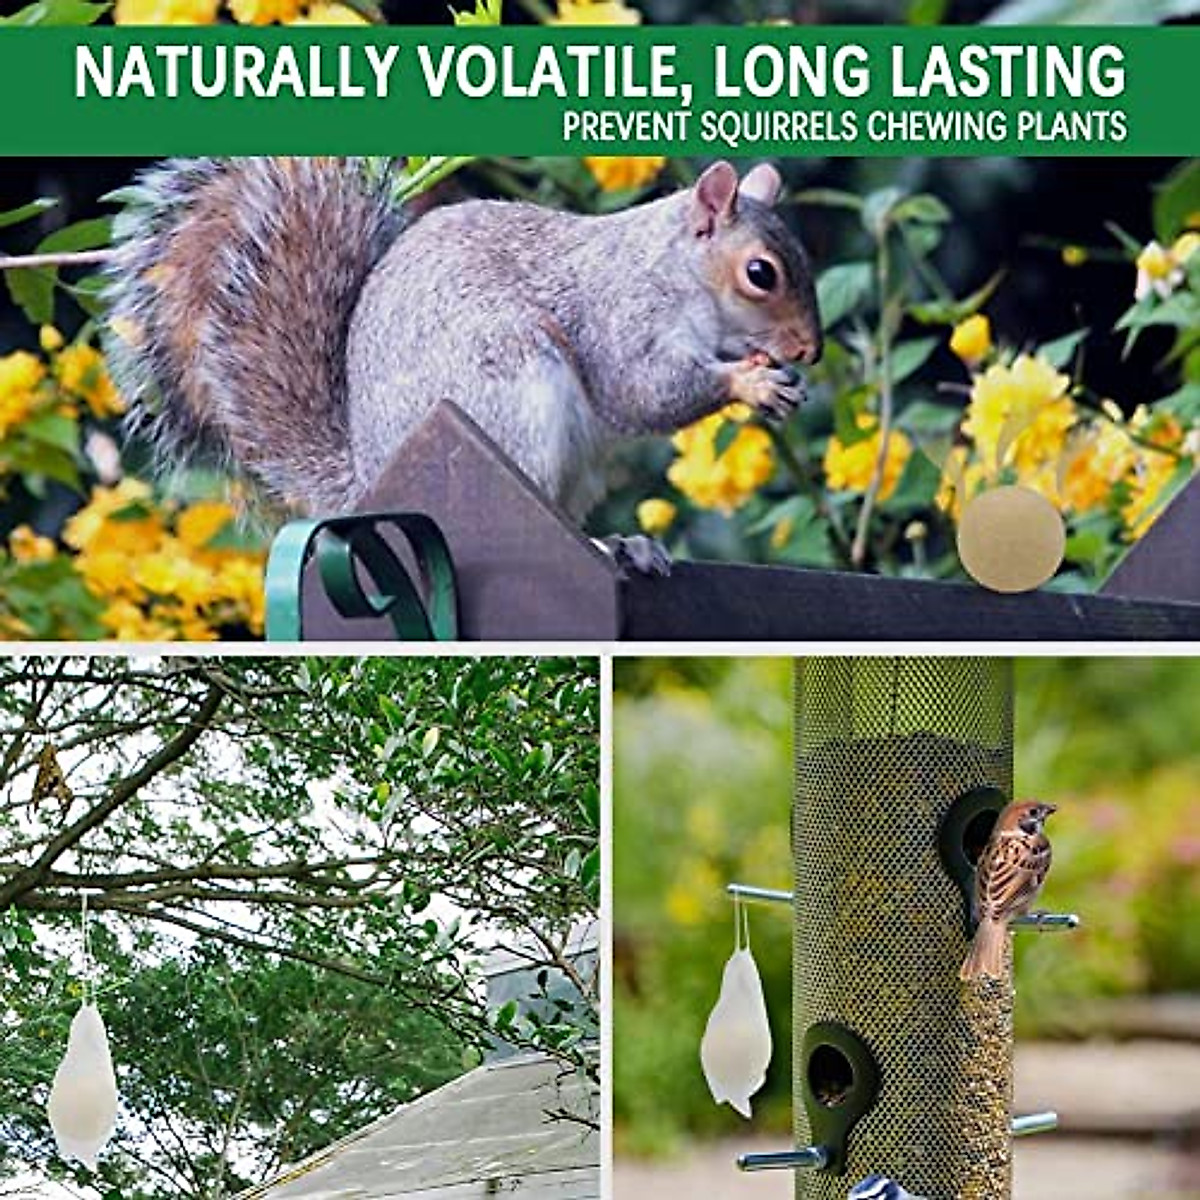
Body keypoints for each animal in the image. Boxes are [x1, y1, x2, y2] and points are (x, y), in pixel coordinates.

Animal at [103, 157, 822, 561]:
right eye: (761, 273)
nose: (810, 349)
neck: (672, 270)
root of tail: (369, 474)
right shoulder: (617, 318)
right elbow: (643, 391)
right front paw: (752, 385)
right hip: (510, 394)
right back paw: (599, 545)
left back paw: (622, 544)